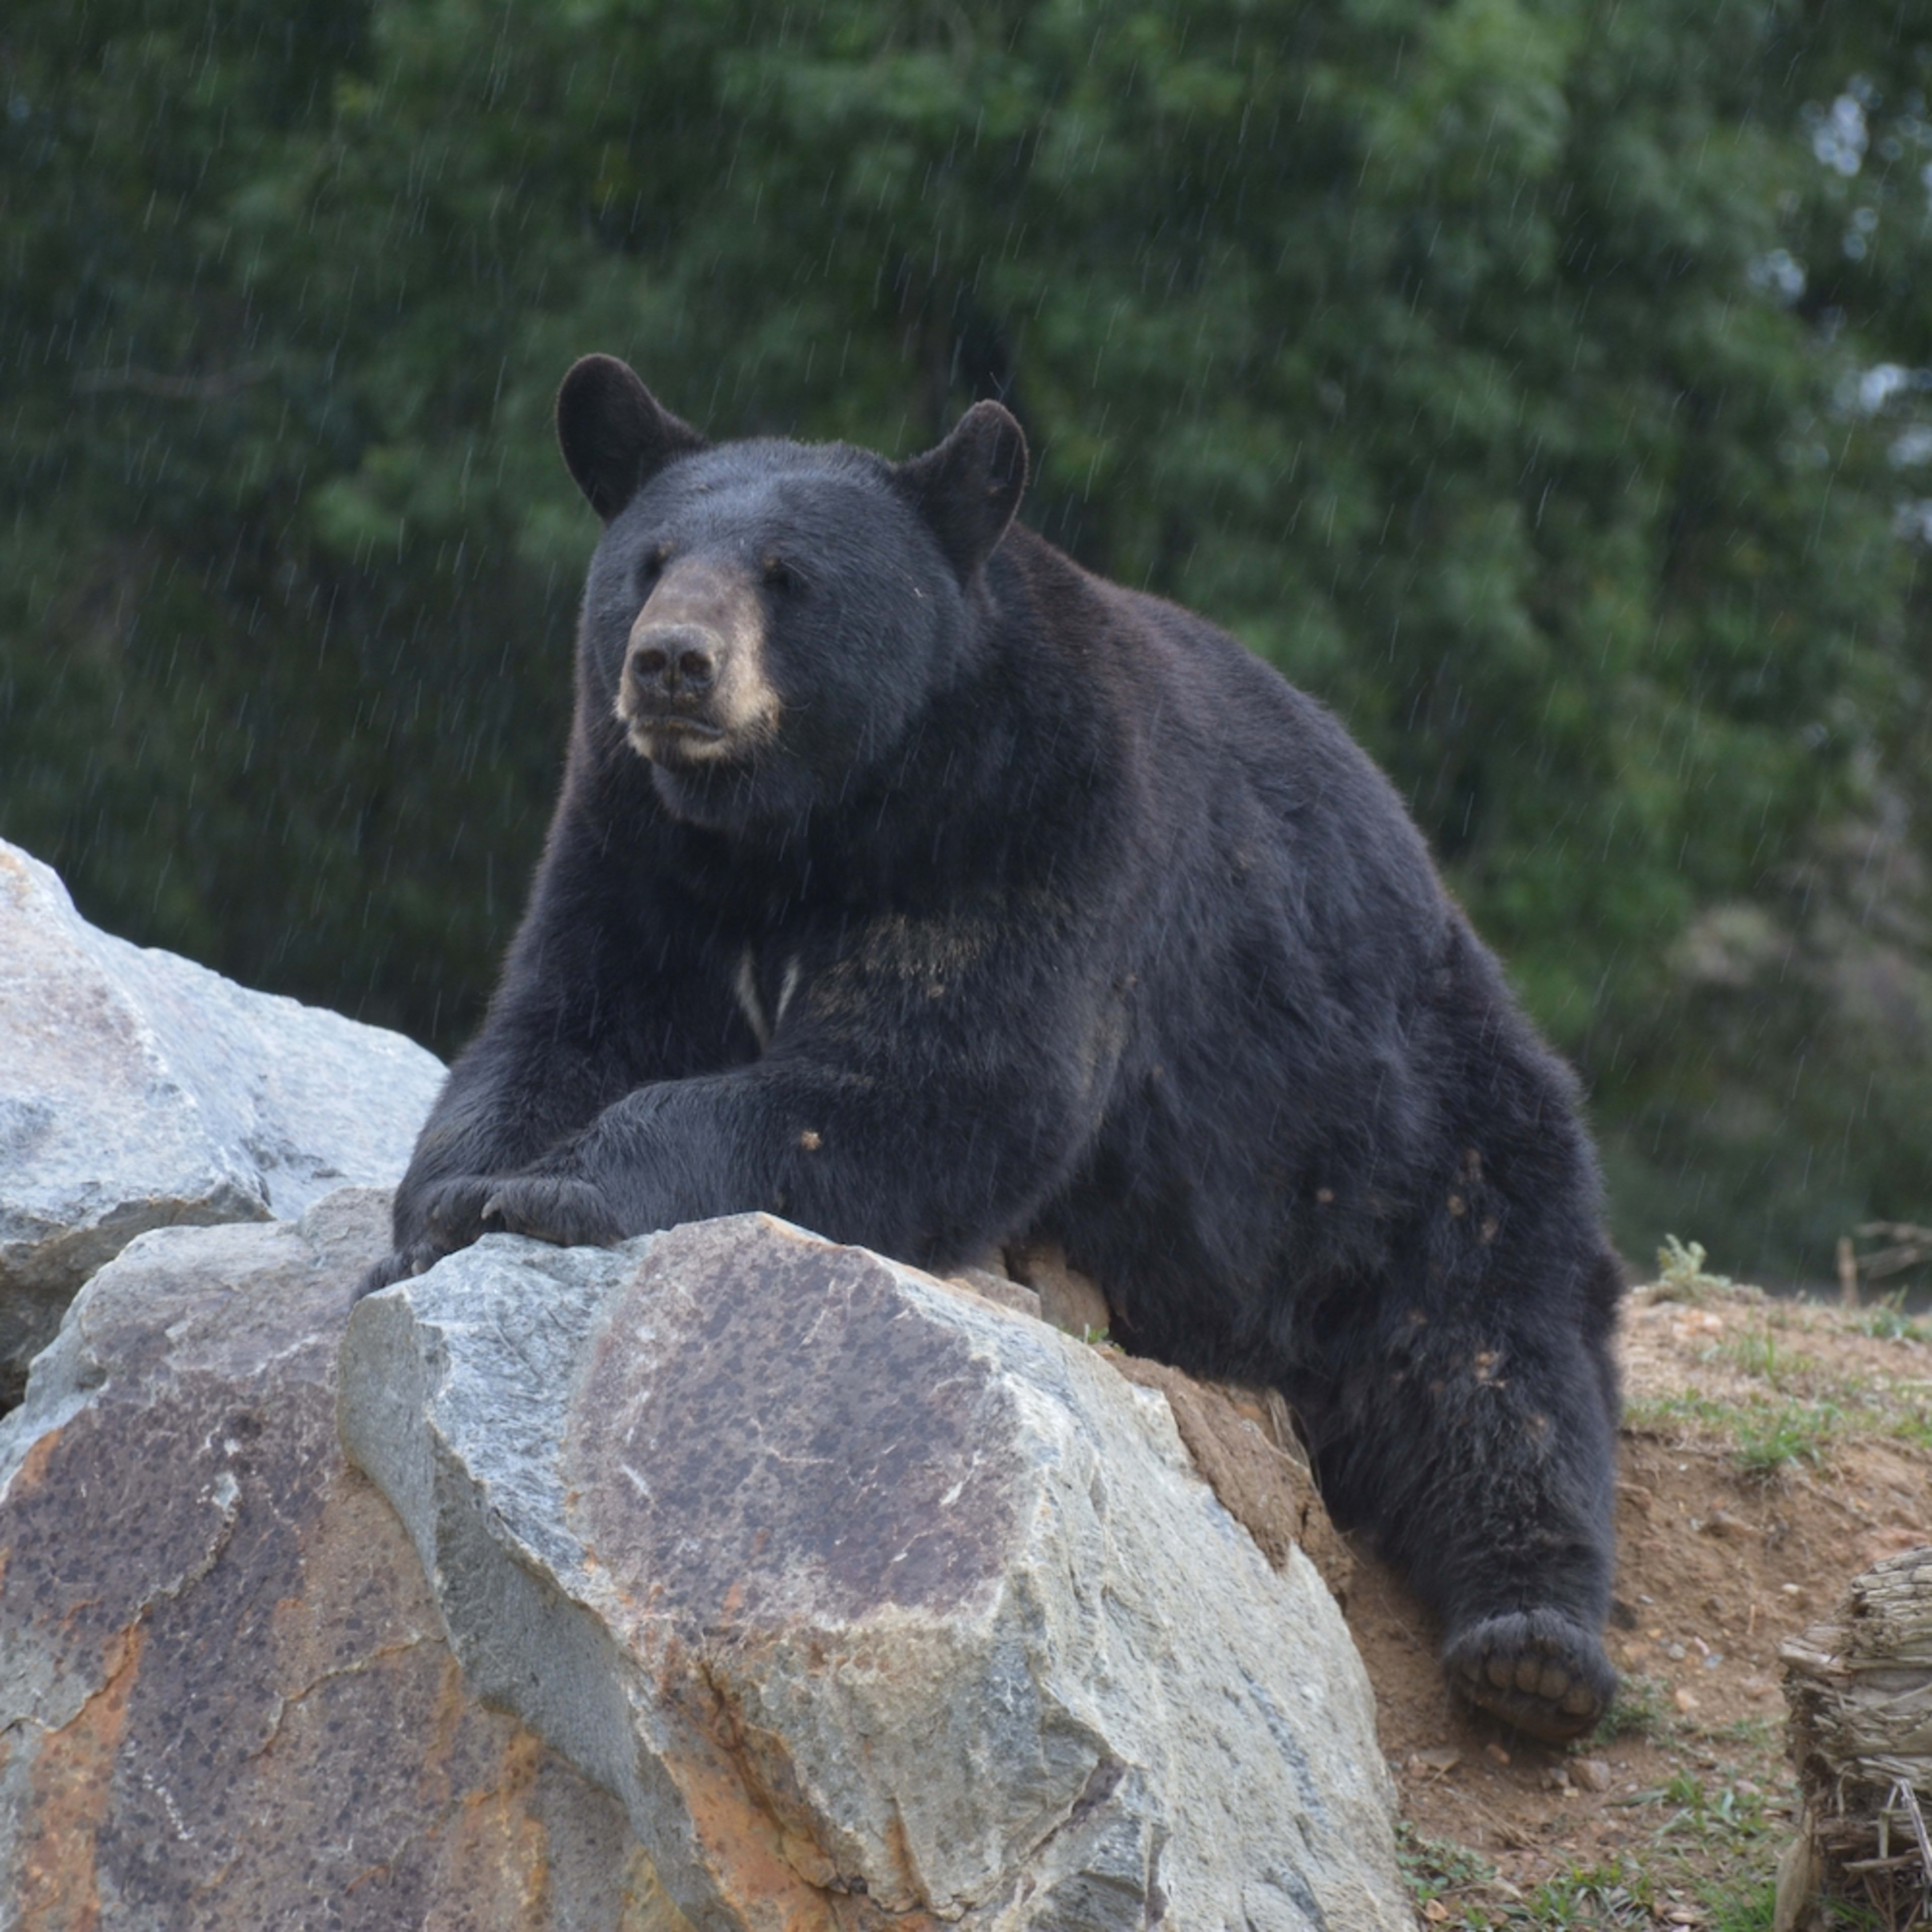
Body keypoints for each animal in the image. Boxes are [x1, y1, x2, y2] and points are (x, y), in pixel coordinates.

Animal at [364, 353, 1625, 1742]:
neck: (798, 828)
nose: (671, 665)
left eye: (788, 575)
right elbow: (559, 1023)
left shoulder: (1033, 824)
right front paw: (440, 1208)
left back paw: (1531, 1645)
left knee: (1490, 1359)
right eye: (648, 560)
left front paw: (561, 1183)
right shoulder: (638, 847)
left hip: (1431, 1130)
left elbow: (948, 1084)